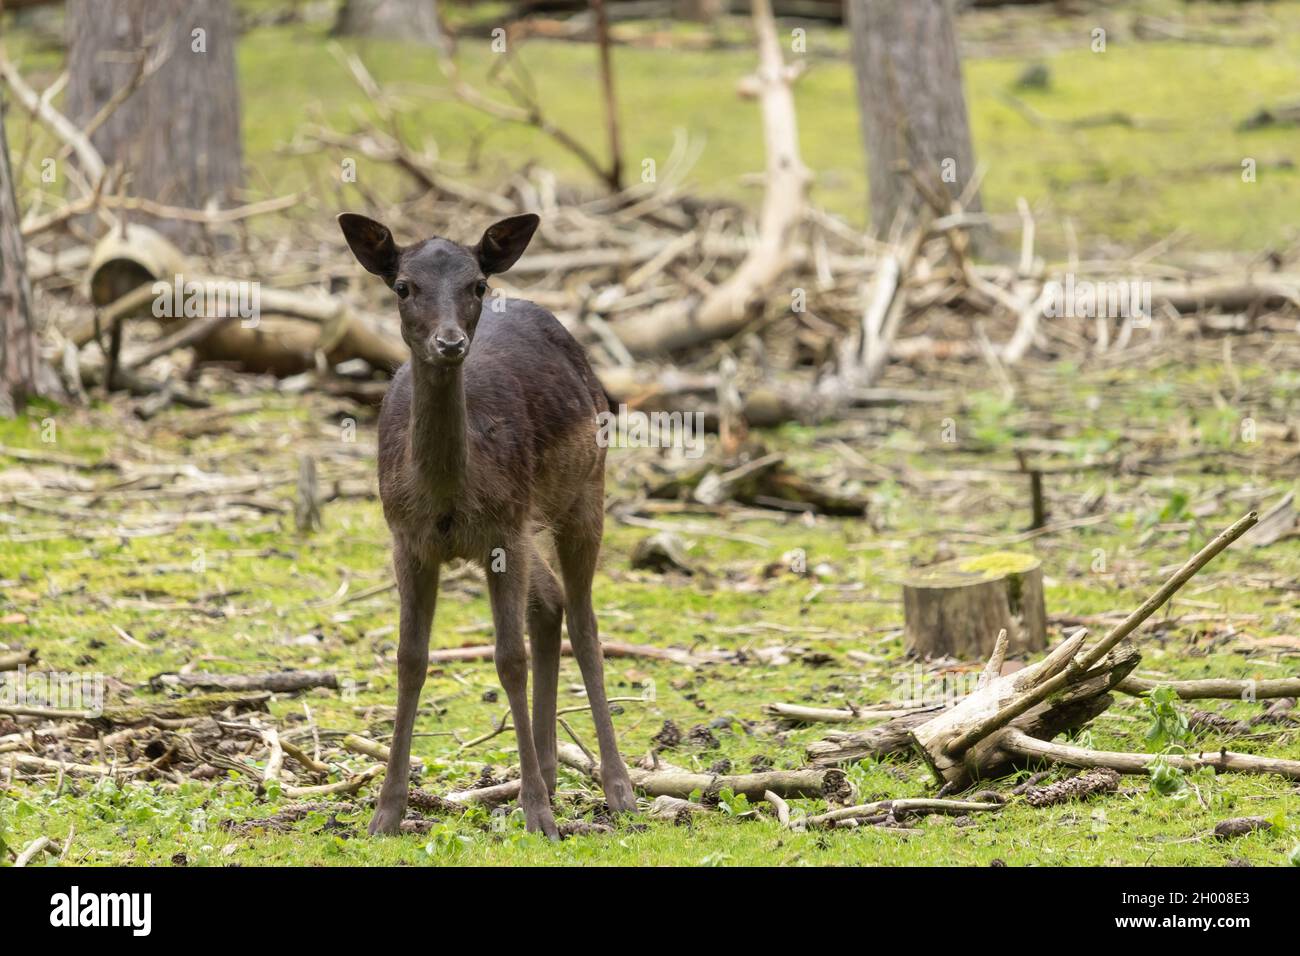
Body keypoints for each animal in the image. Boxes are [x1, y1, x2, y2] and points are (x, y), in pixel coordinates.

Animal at [337, 211, 637, 838]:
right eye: (403, 287)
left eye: (477, 284)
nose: (450, 342)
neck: (450, 495)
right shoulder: (408, 540)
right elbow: (409, 658)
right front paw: (385, 813)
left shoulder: (503, 532)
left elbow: (508, 658)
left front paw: (537, 815)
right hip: (528, 525)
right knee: (550, 602)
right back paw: (549, 770)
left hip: (584, 491)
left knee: (585, 621)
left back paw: (617, 787)